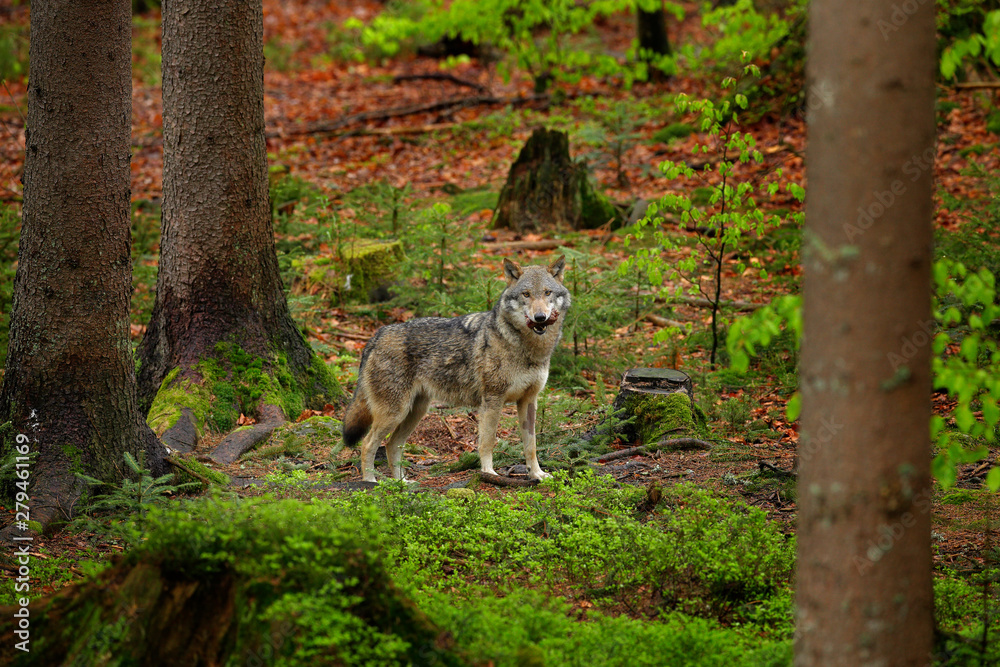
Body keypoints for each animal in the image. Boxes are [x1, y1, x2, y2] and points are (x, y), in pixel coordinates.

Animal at [342, 255, 570, 482]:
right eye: (526, 294)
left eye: (547, 293)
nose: (540, 317)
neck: (528, 349)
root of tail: (376, 335)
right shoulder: (492, 400)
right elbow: (487, 442)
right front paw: (488, 473)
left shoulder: (529, 400)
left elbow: (531, 445)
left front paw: (537, 474)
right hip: (394, 413)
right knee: (368, 444)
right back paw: (371, 483)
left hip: (414, 412)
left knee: (391, 445)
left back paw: (402, 483)